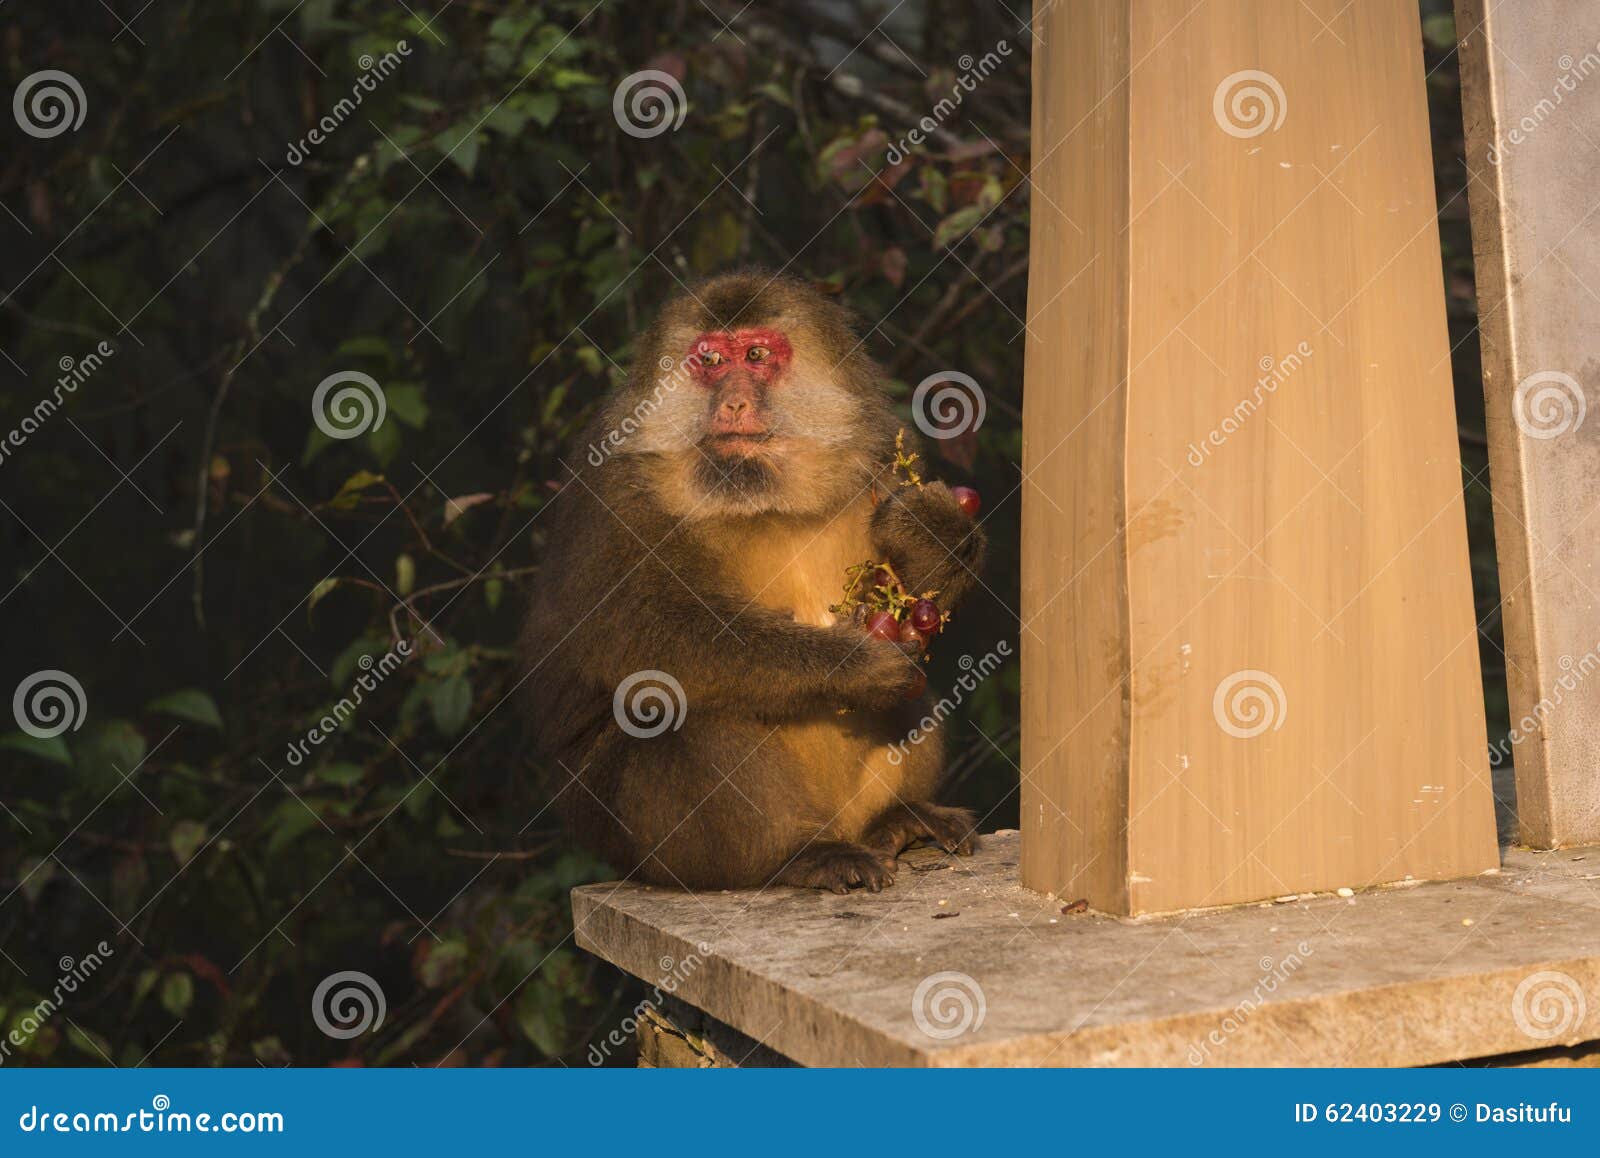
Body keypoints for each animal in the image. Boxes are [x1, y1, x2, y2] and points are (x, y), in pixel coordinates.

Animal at [521, 271, 987, 894]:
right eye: (711, 360)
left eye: (758, 356)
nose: (733, 403)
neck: (764, 497)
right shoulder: (613, 487)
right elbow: (638, 630)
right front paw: (848, 666)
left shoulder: (884, 454)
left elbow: (914, 608)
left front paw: (935, 539)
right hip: (648, 853)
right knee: (680, 714)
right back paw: (796, 856)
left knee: (917, 698)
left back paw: (898, 820)